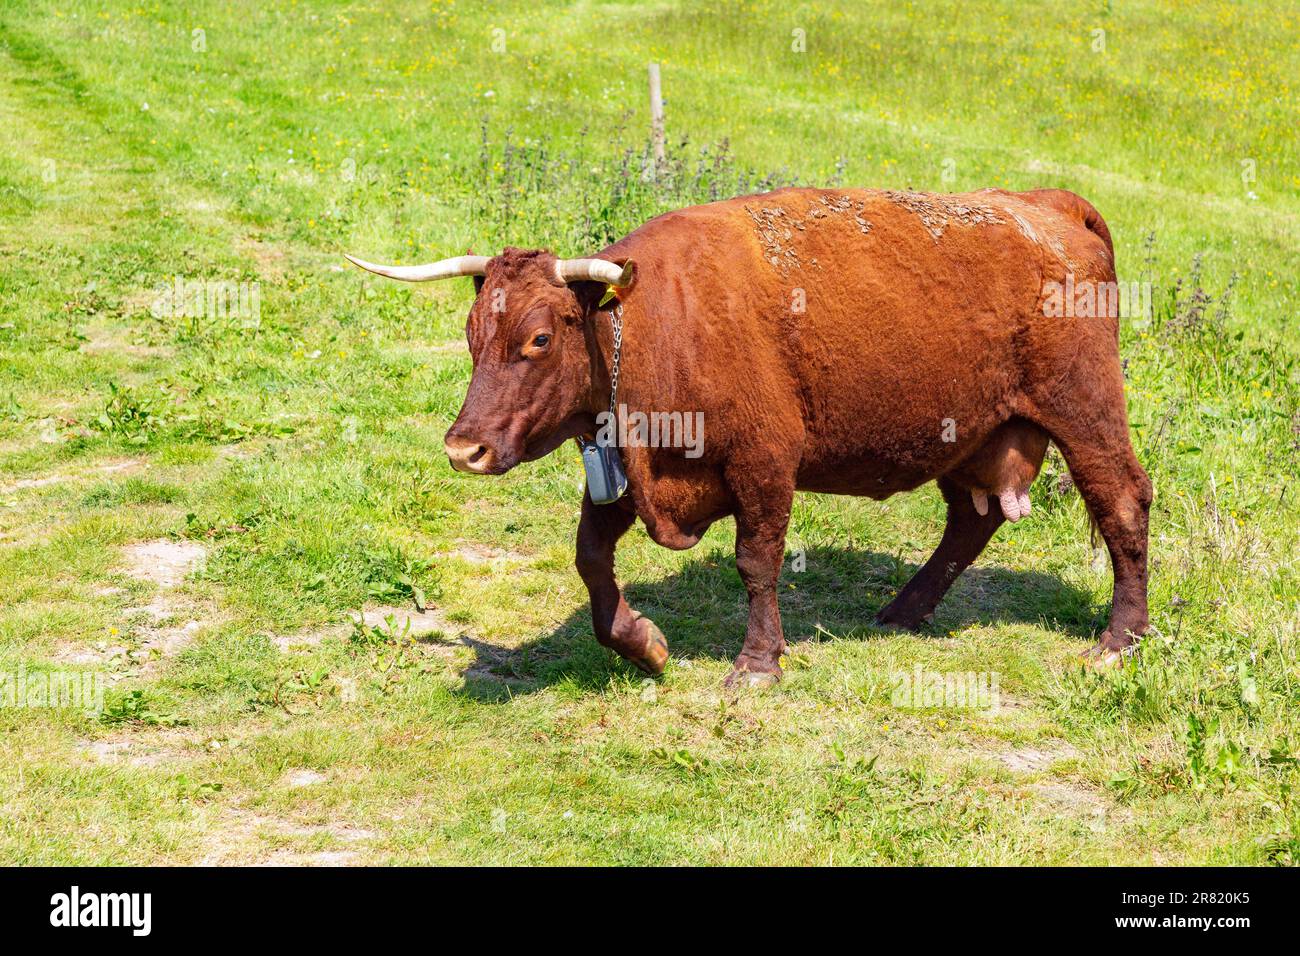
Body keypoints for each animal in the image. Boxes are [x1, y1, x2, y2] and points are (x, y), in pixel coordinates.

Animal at [346, 186, 1152, 687]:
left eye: (539, 337)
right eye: (472, 333)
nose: (465, 448)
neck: (654, 324)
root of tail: (1041, 204)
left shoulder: (764, 463)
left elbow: (756, 562)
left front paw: (759, 662)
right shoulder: (625, 468)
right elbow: (590, 561)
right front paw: (643, 646)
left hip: (1084, 409)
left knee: (1123, 503)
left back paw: (1120, 640)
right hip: (976, 431)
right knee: (972, 520)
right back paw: (906, 608)